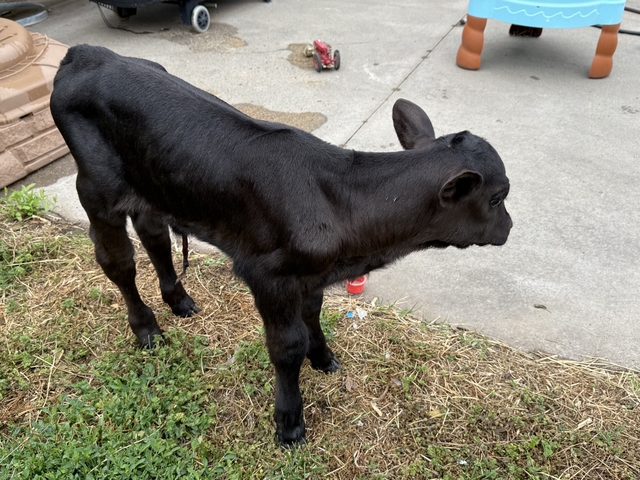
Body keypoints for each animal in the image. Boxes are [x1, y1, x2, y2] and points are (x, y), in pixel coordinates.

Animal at [50, 45, 512, 446]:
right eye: (497, 197)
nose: (508, 228)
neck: (341, 203)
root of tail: (89, 53)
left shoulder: (312, 274)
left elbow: (312, 317)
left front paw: (323, 358)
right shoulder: (268, 276)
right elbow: (287, 347)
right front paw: (289, 423)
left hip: (153, 184)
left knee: (154, 235)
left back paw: (178, 299)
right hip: (96, 188)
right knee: (118, 262)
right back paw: (146, 329)